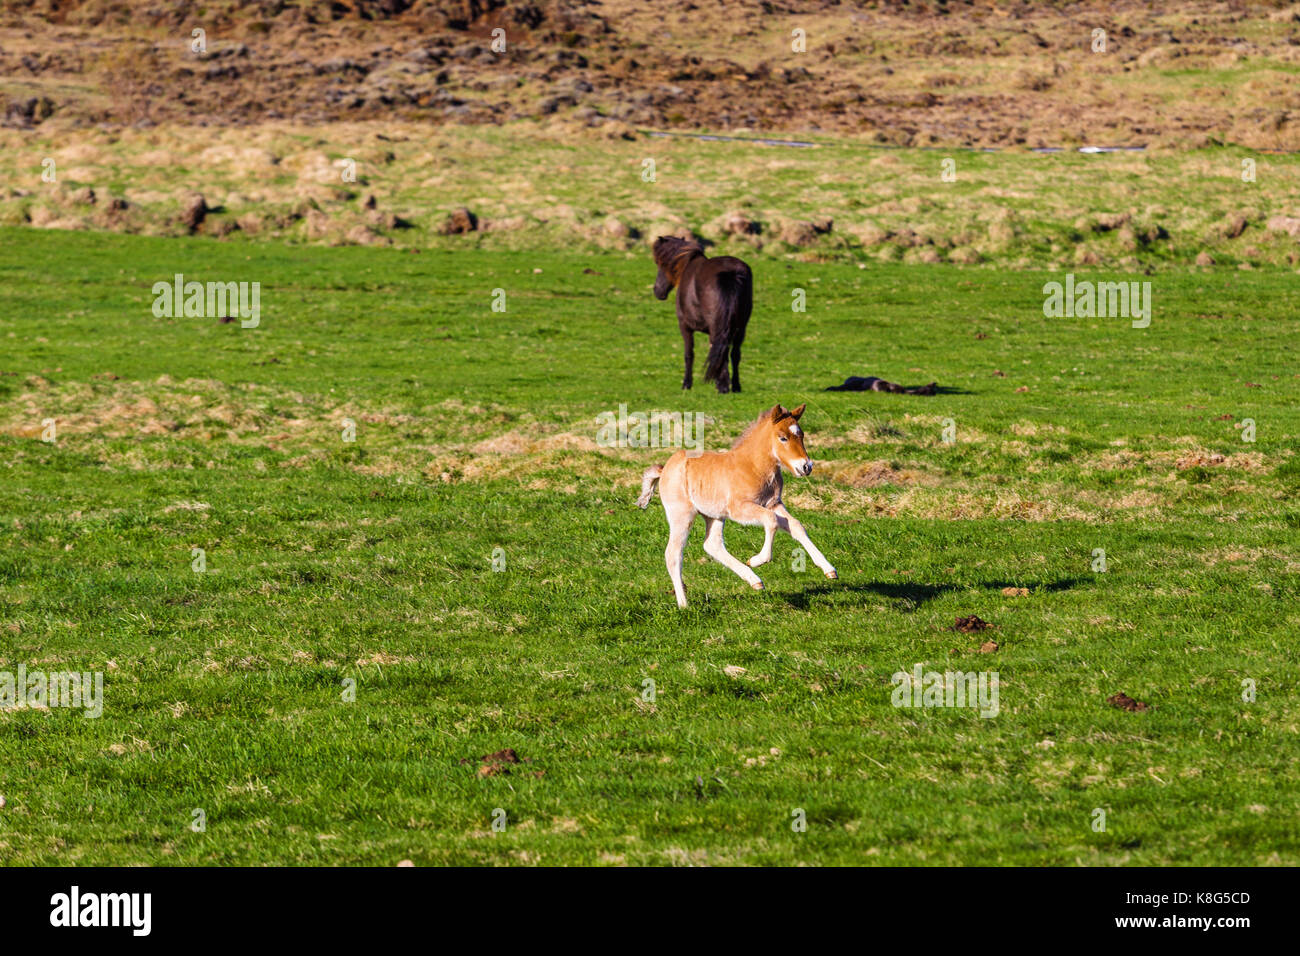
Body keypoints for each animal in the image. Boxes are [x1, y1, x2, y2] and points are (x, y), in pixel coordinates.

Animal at [636, 402, 837, 608]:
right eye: (783, 437)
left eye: (802, 435)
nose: (806, 467)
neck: (753, 466)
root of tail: (664, 469)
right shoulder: (739, 508)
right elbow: (771, 520)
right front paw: (757, 560)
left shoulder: (773, 503)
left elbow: (795, 525)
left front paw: (829, 569)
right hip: (682, 515)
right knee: (673, 554)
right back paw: (684, 604)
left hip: (714, 515)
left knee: (712, 544)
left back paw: (754, 581)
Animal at [651, 236, 752, 394]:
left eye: (660, 263)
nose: (657, 290)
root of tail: (731, 273)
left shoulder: (685, 326)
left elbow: (689, 354)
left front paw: (686, 384)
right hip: (740, 327)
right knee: (734, 353)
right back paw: (735, 386)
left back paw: (722, 386)